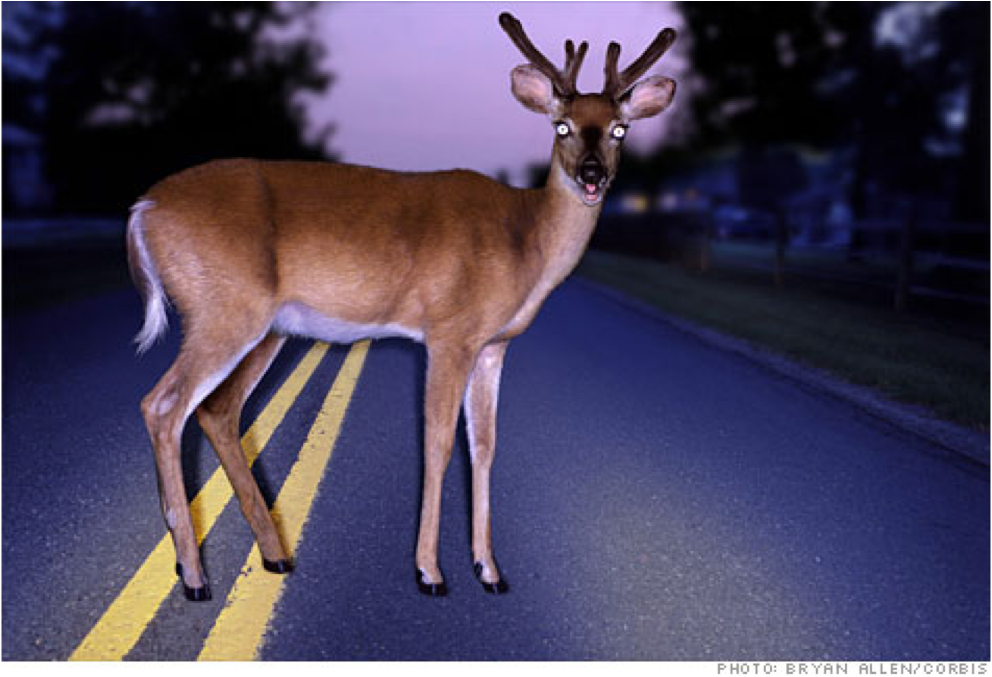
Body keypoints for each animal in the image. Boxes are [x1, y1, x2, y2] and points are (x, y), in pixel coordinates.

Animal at [128, 12, 676, 601]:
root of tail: (142, 210)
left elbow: (485, 446)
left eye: (620, 128)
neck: (526, 240)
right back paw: (194, 577)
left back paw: (274, 556)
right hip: (223, 310)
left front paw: (491, 571)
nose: (593, 174)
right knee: (163, 405)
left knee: (217, 410)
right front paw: (430, 572)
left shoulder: (493, 346)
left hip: (266, 328)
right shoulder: (449, 332)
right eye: (562, 127)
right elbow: (437, 444)